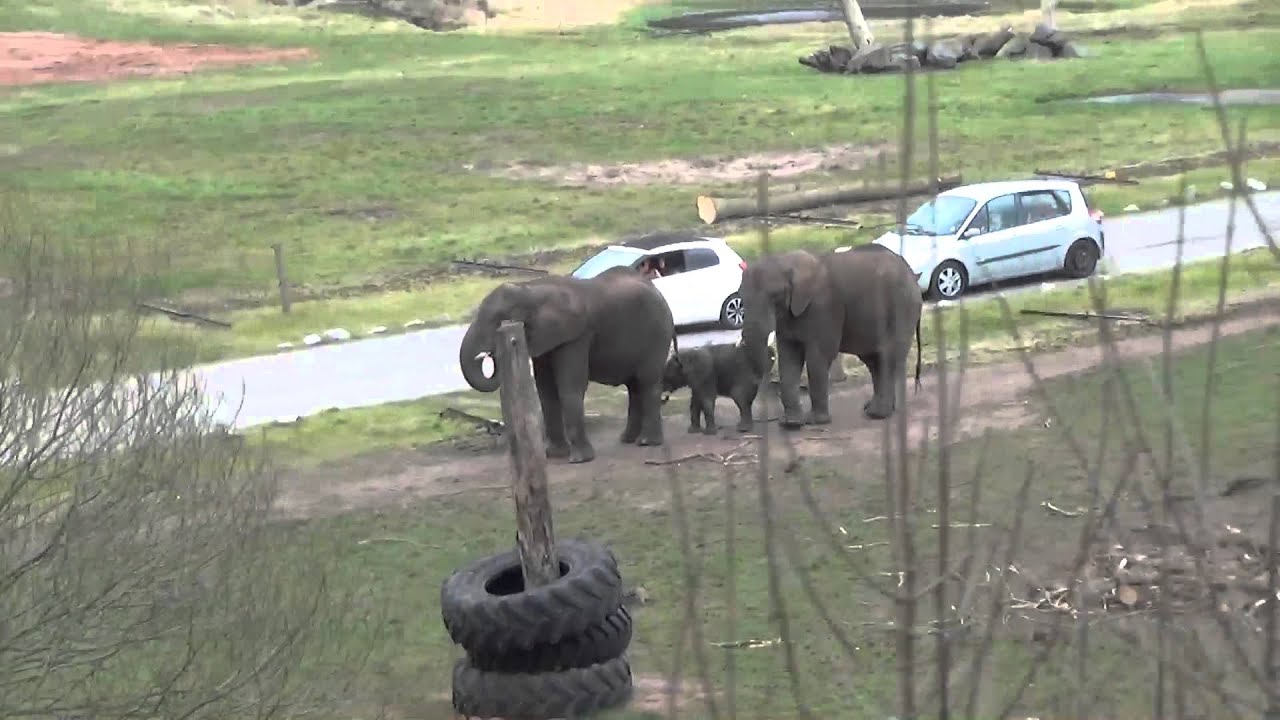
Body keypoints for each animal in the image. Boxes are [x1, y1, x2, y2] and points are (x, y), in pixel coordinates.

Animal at [459, 269, 676, 464]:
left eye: (499, 320)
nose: (490, 354)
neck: (530, 289)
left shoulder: (576, 336)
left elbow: (569, 387)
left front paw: (580, 459)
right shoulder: (546, 338)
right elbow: (546, 391)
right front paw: (554, 455)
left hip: (658, 334)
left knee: (647, 382)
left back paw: (647, 442)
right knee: (634, 386)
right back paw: (627, 439)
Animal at [738, 245, 923, 428]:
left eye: (775, 296)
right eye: (741, 298)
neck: (786, 260)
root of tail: (913, 276)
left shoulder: (823, 307)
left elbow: (818, 357)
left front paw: (816, 421)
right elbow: (789, 358)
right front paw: (791, 423)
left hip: (902, 308)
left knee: (887, 357)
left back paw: (877, 414)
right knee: (874, 361)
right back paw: (876, 409)